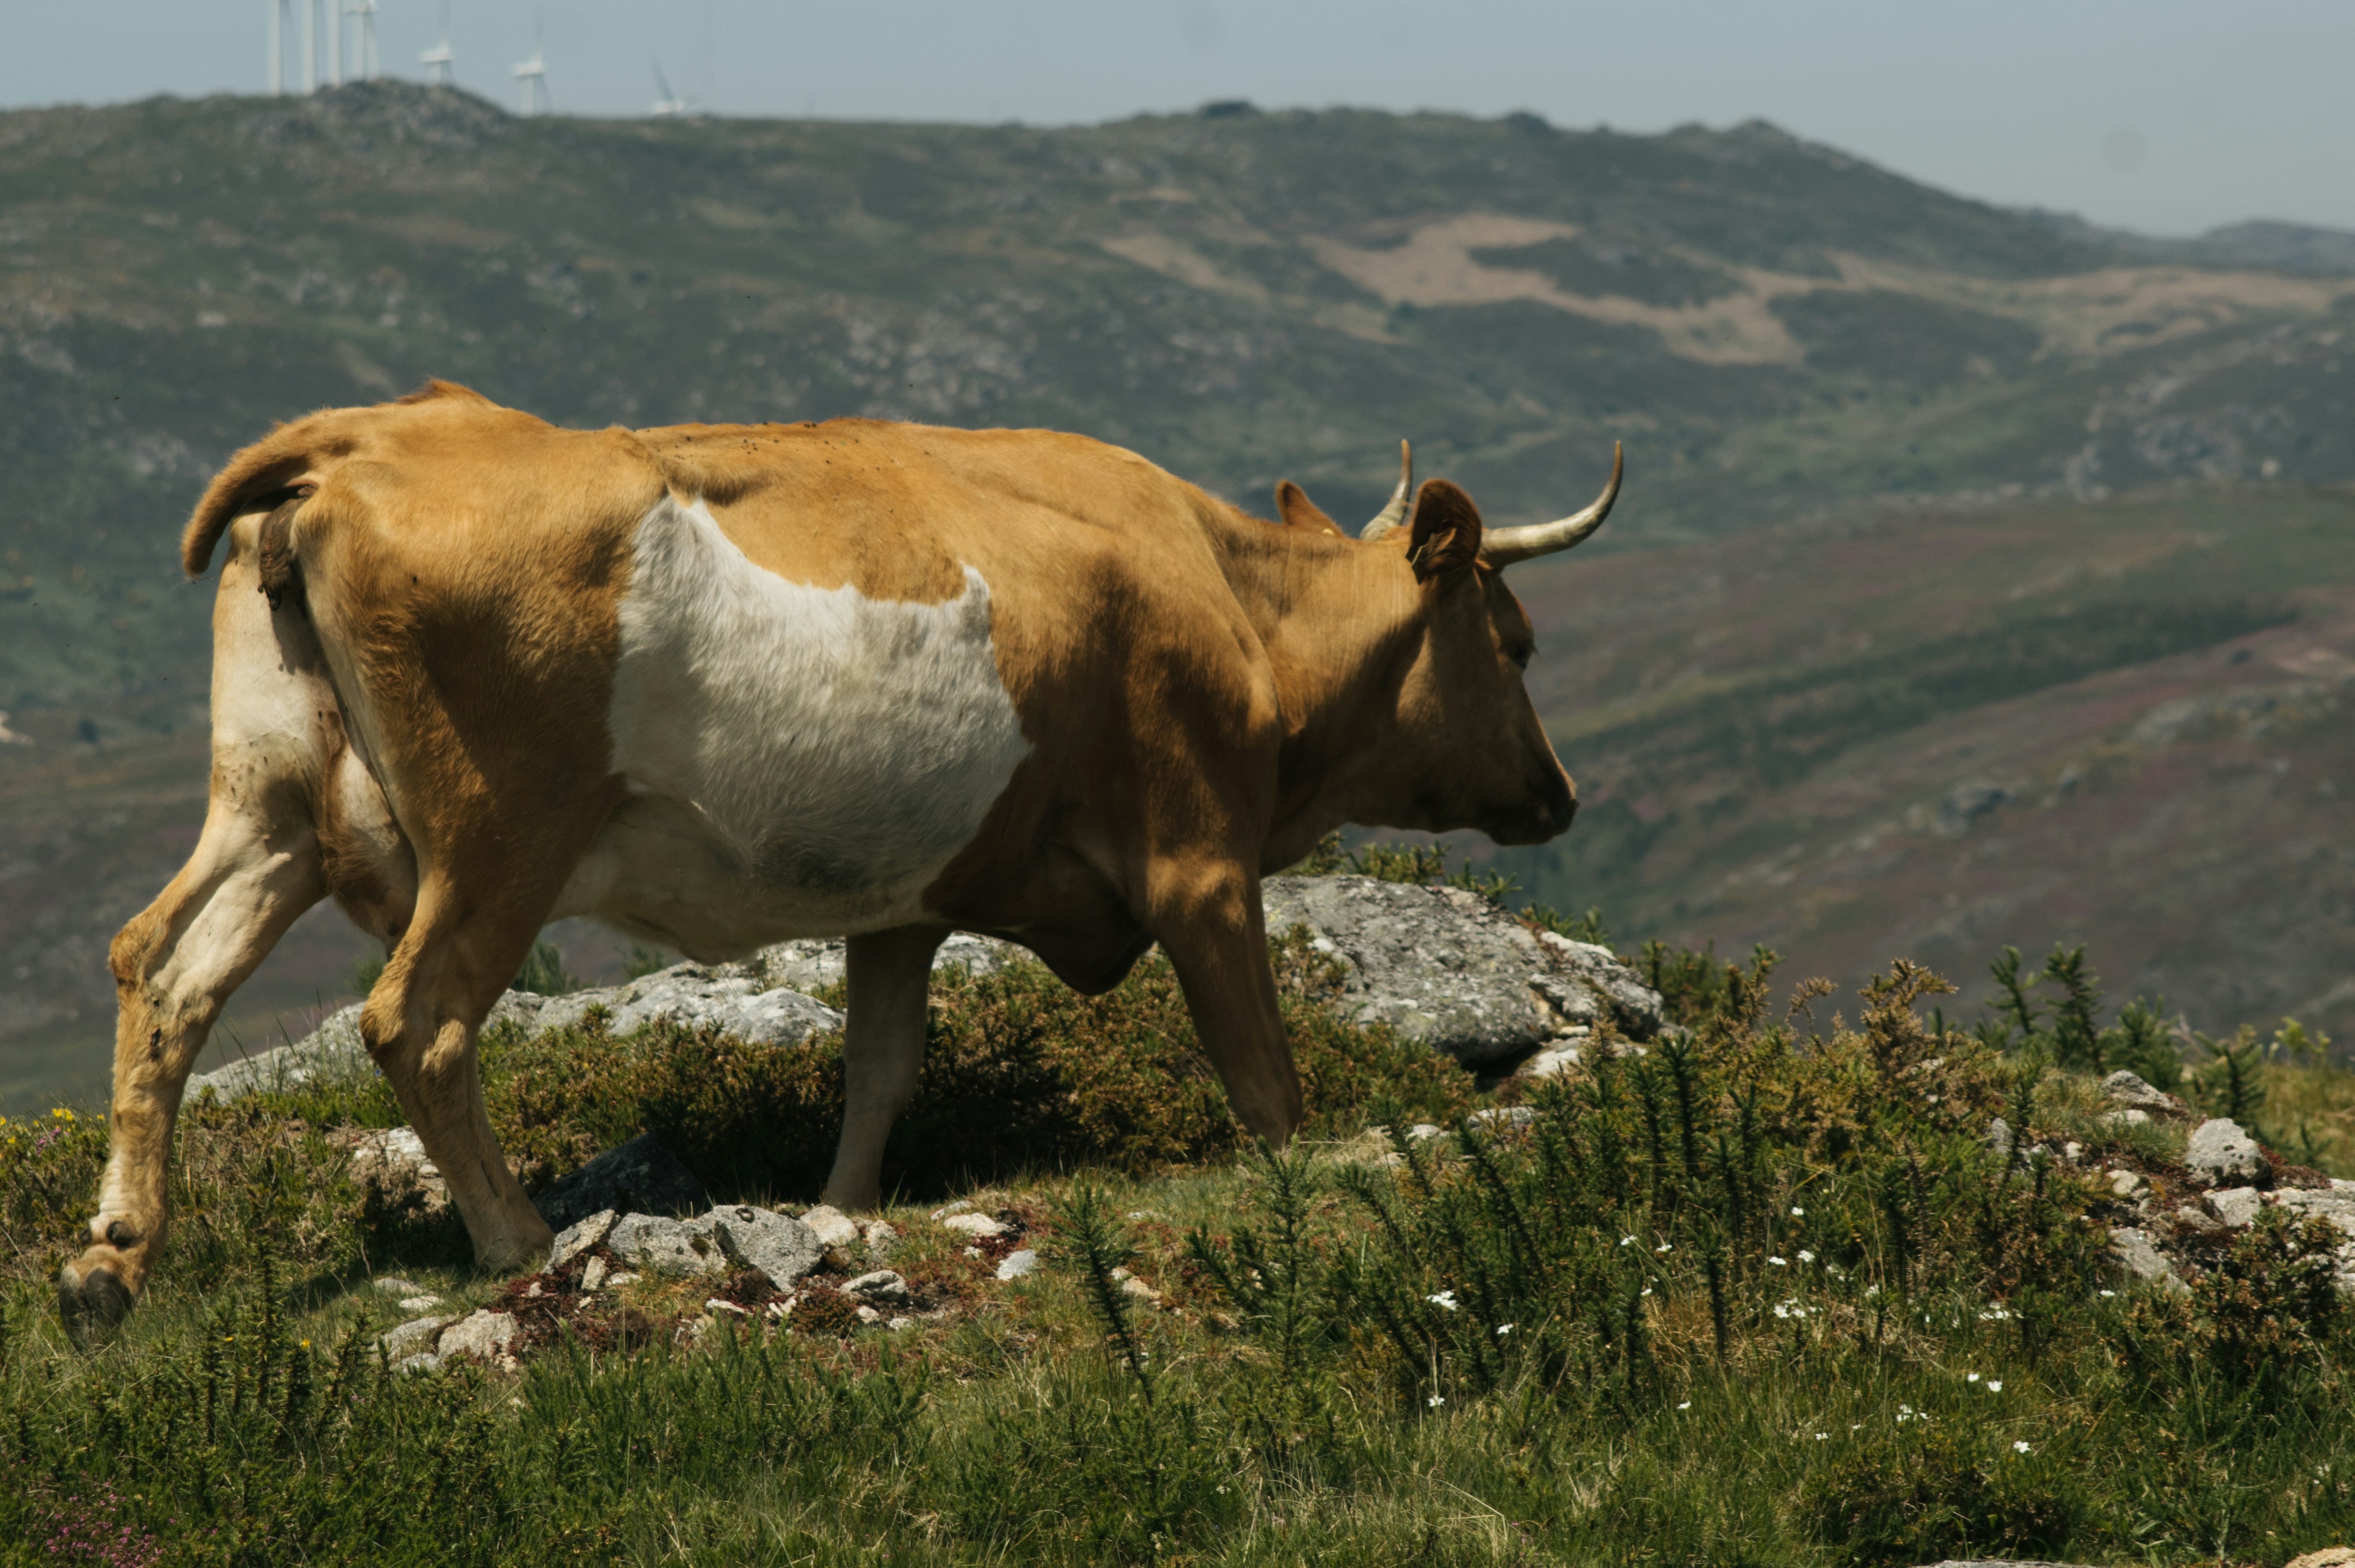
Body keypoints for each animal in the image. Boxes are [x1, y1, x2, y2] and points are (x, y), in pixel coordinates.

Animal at [56, 380, 1619, 1332]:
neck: (1229, 602)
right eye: (1517, 641)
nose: (1556, 795)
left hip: (272, 808)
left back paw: (109, 1259)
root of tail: (371, 432)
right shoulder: (1198, 860)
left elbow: (879, 1070)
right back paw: (516, 1243)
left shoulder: (899, 904)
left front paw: (843, 1214)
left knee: (162, 970)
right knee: (415, 1020)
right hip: (502, 838)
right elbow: (1261, 1074)